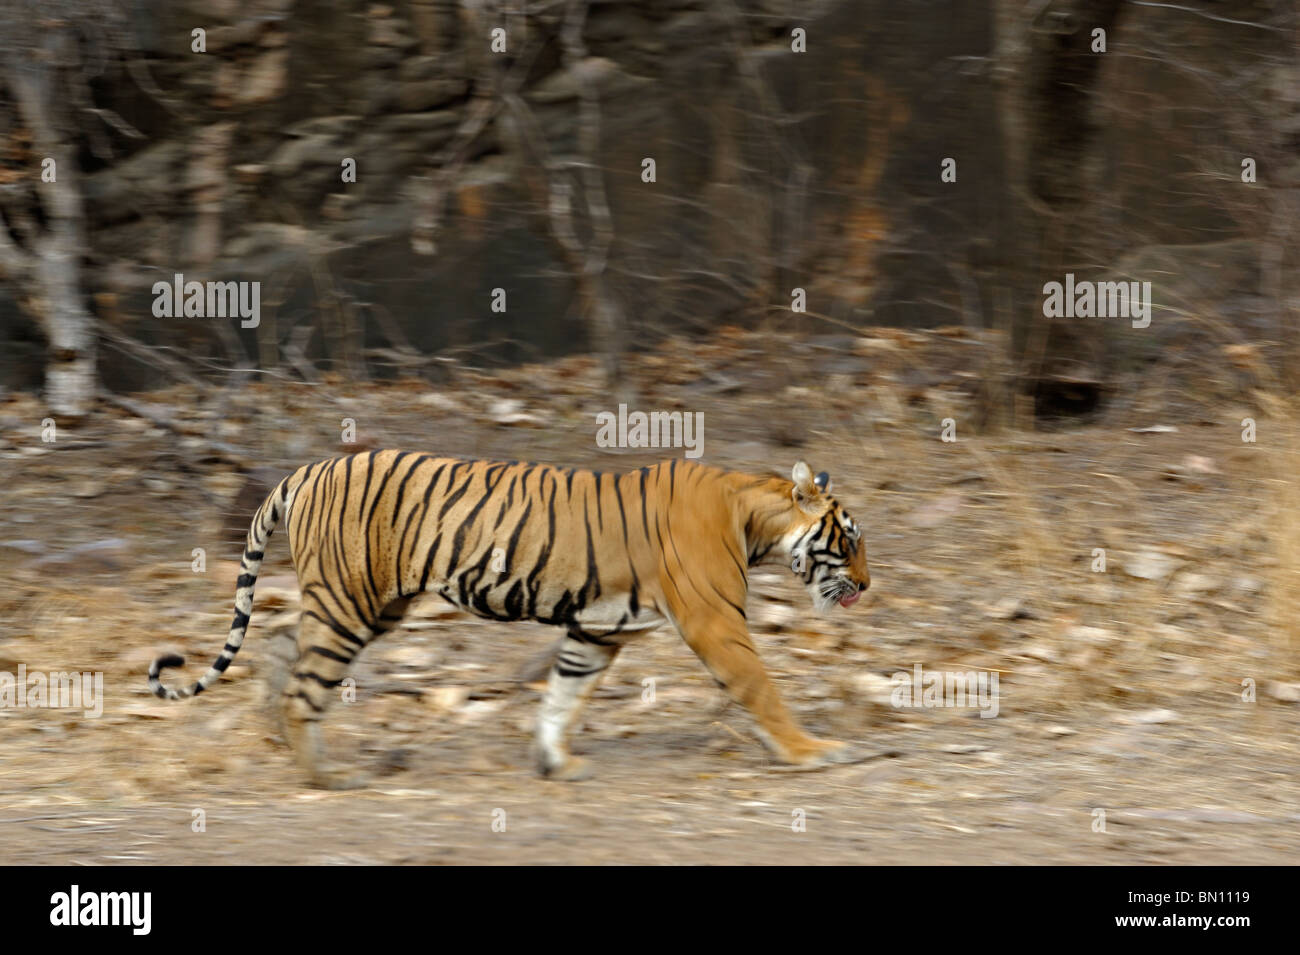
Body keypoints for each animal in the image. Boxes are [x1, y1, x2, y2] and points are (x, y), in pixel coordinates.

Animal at [149, 452, 872, 788]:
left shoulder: (598, 627)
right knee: (305, 687)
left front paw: (555, 761)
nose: (868, 585)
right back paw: (324, 774)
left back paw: (276, 734)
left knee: (278, 641)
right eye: (850, 539)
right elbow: (761, 688)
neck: (755, 518)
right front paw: (814, 752)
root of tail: (308, 467)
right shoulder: (713, 620)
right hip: (351, 602)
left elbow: (563, 694)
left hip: (368, 604)